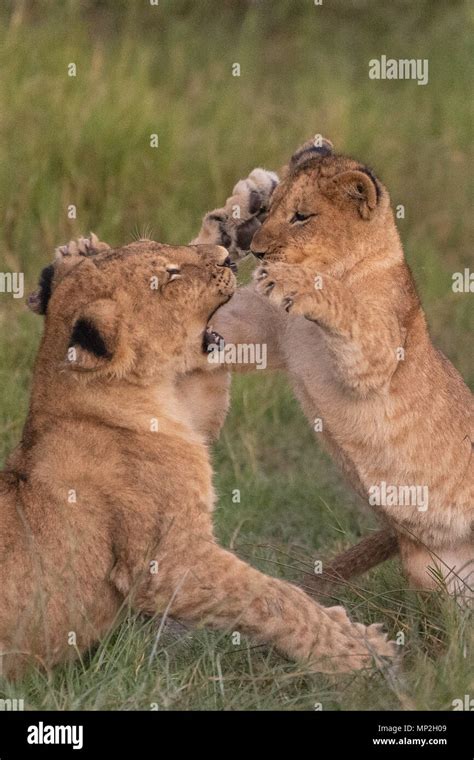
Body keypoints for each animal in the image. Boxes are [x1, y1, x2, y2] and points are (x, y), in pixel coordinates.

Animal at [0, 237, 396, 680]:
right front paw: (356, 655)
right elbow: (274, 595)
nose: (227, 256)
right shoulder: (168, 565)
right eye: (168, 275)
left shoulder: (193, 413)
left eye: (151, 243)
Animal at [194, 138, 473, 599]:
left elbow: (345, 305)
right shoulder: (242, 330)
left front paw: (296, 282)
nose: (258, 251)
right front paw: (234, 214)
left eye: (302, 216)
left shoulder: (379, 354)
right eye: (271, 209)